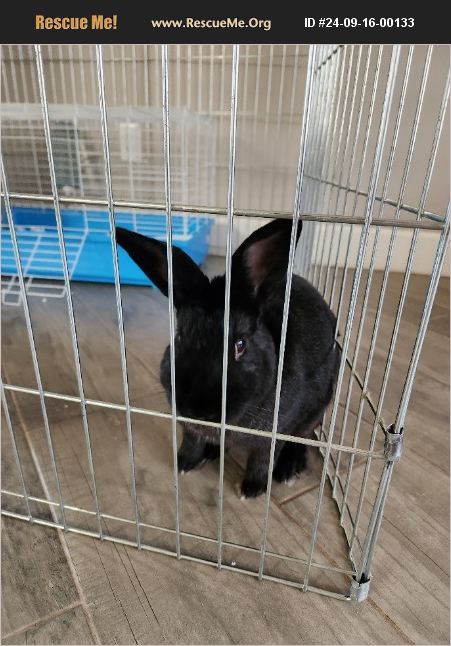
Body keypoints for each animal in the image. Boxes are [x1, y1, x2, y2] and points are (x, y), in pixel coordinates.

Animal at [116, 218, 339, 498]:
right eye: (179, 337)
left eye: (240, 345)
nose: (200, 410)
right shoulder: (189, 428)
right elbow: (192, 441)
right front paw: (183, 463)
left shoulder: (273, 433)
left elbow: (262, 459)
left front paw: (252, 490)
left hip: (317, 409)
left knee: (304, 438)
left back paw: (289, 469)